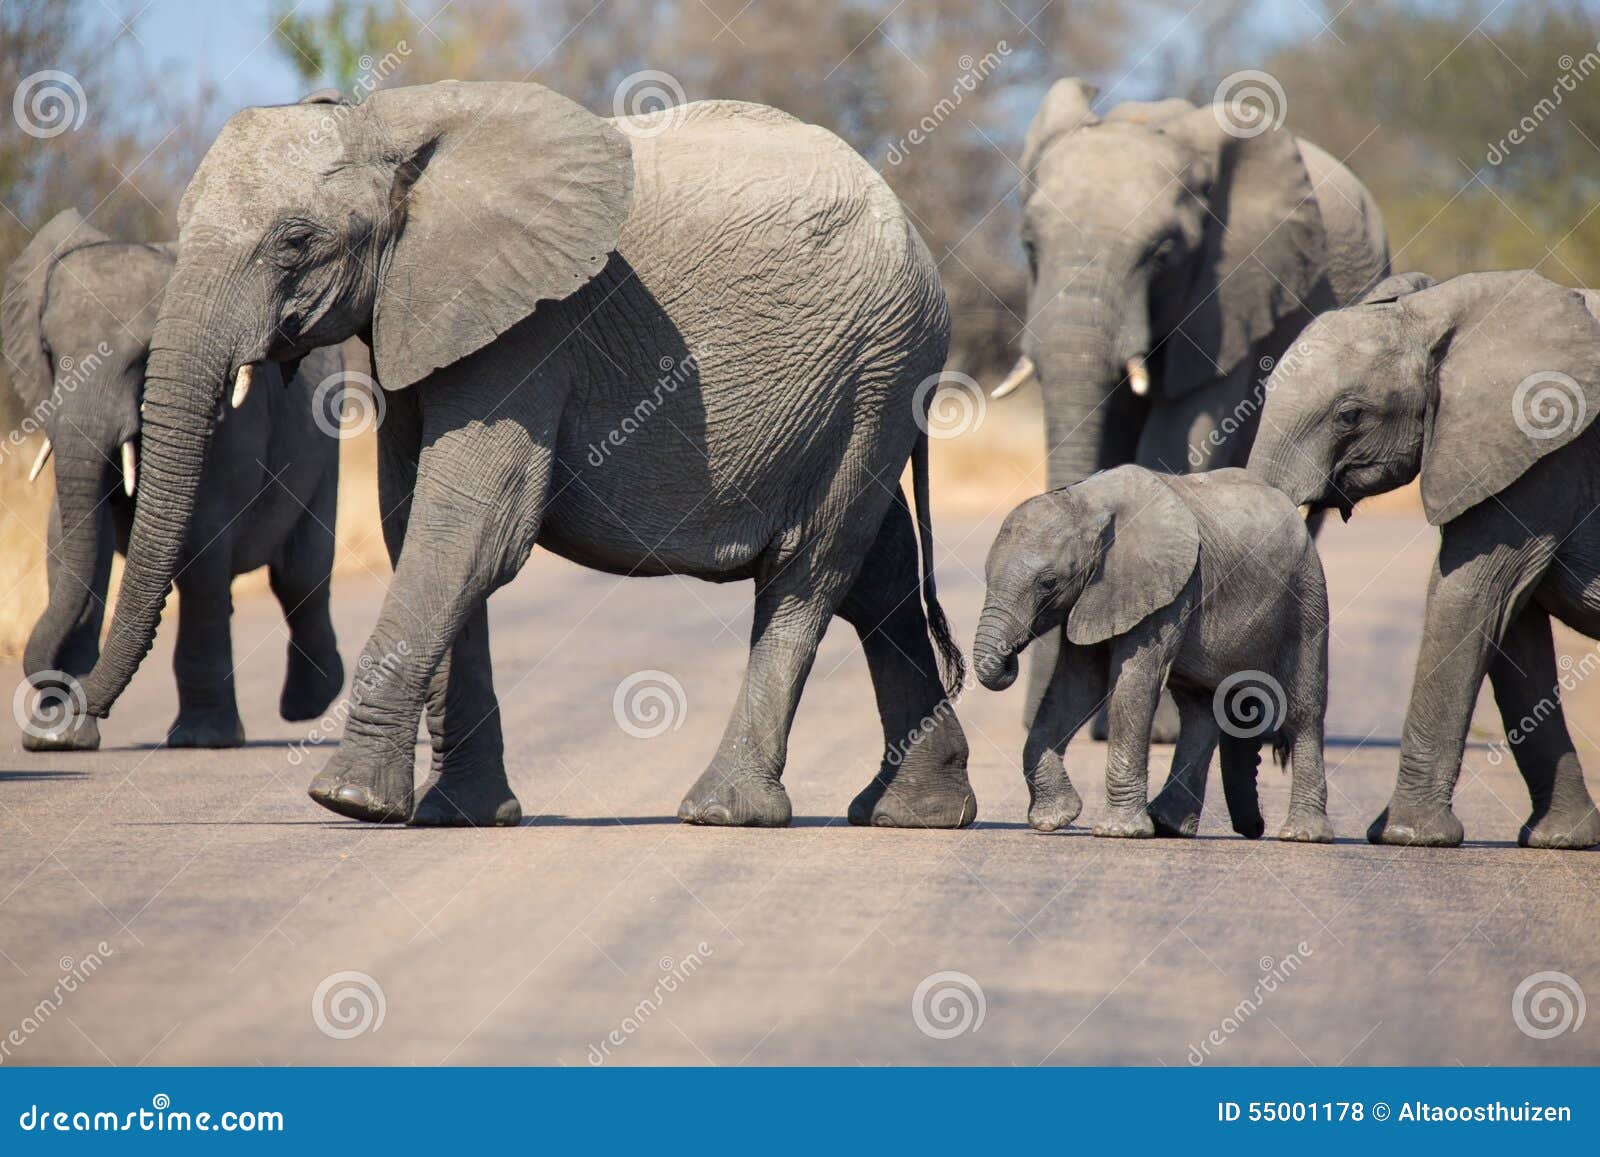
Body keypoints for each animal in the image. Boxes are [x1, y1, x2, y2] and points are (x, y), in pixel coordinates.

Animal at [1, 208, 346, 749]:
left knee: (300, 575)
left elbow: (201, 549)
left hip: (326, 446)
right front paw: (58, 740)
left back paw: (310, 705)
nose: (69, 694)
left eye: (144, 357)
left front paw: (203, 739)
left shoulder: (236, 422)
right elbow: (71, 547)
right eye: (48, 353)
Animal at [72, 82, 974, 830]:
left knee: (808, 571)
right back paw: (917, 814)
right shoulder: (421, 316)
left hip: (879, 365)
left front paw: (349, 800)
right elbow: (414, 523)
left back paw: (725, 811)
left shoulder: (531, 327)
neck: (388, 120)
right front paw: (458, 816)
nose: (71, 710)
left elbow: (471, 527)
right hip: (863, 386)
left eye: (295, 241)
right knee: (879, 576)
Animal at [972, 465, 1331, 842]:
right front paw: (1054, 819)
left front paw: (1117, 832)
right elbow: (1076, 687)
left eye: (1048, 583)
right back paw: (1170, 825)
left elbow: (1133, 685)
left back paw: (1303, 835)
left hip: (1306, 595)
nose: (1010, 658)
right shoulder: (1095, 595)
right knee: (1201, 713)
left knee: (1303, 711)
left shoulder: (1163, 589)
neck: (1088, 504)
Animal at [995, 77, 1388, 729]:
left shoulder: (1236, 295)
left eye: (1162, 253)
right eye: (1027, 246)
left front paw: (1158, 722)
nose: (1024, 711)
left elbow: (1183, 431)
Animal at [1247, 269, 1600, 850]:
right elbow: (1512, 626)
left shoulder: (1551, 447)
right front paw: (1561, 840)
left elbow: (1471, 593)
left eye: (1350, 416)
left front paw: (1404, 835)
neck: (1437, 312)